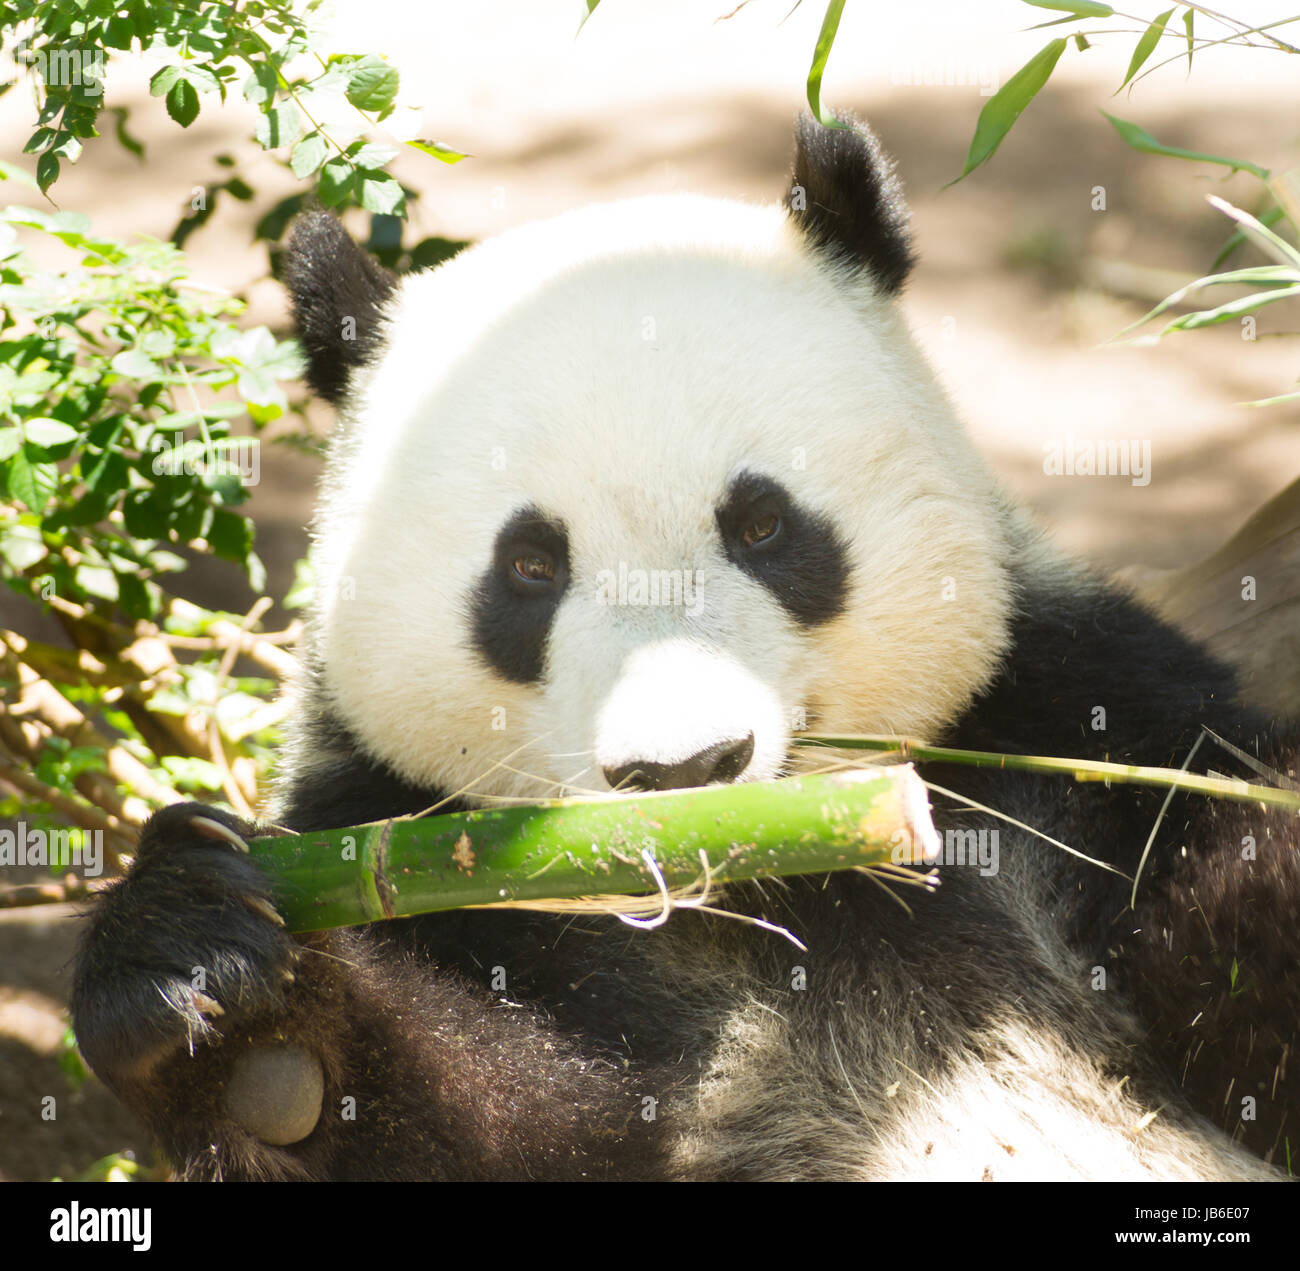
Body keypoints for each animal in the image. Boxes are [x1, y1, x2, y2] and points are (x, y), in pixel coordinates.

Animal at [72, 114, 1299, 1182]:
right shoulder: (409, 851)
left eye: (761, 526)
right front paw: (226, 1010)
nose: (687, 769)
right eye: (530, 566)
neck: (780, 888)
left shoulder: (1061, 721)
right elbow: (521, 1129)